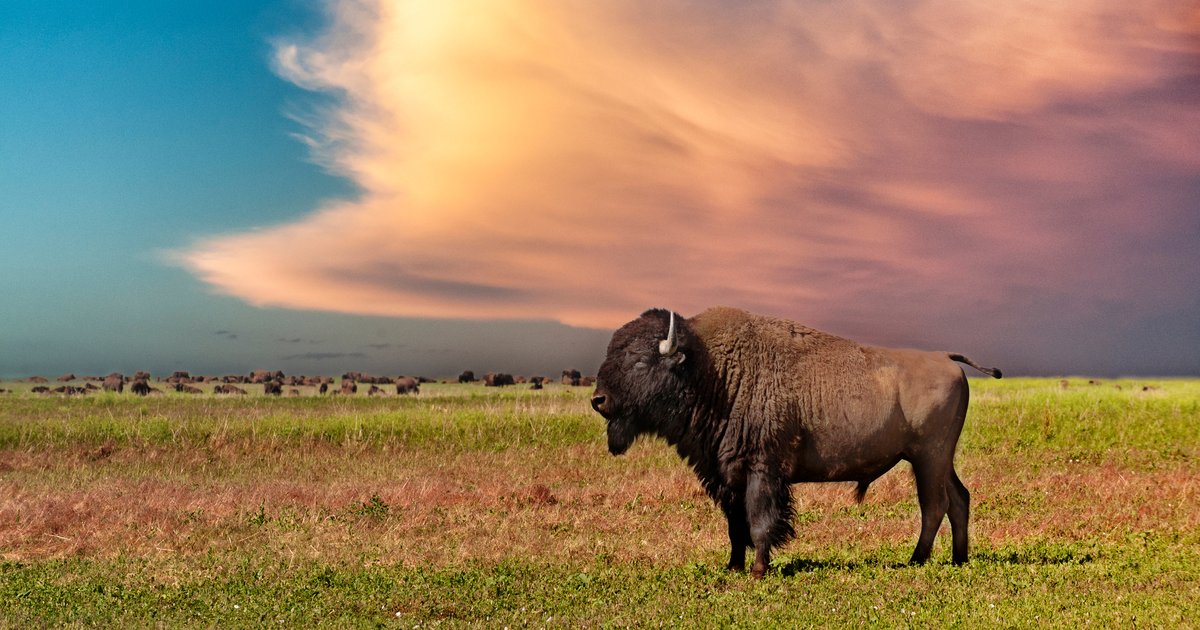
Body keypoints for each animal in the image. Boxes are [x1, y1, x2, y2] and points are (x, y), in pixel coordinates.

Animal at [590, 307, 1001, 577]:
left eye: (640, 361)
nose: (599, 400)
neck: (712, 370)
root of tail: (945, 357)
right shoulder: (727, 475)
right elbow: (735, 526)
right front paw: (733, 567)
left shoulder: (762, 471)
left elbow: (759, 522)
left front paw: (757, 571)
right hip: (938, 460)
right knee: (959, 499)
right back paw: (958, 559)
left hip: (927, 458)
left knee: (934, 505)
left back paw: (916, 560)